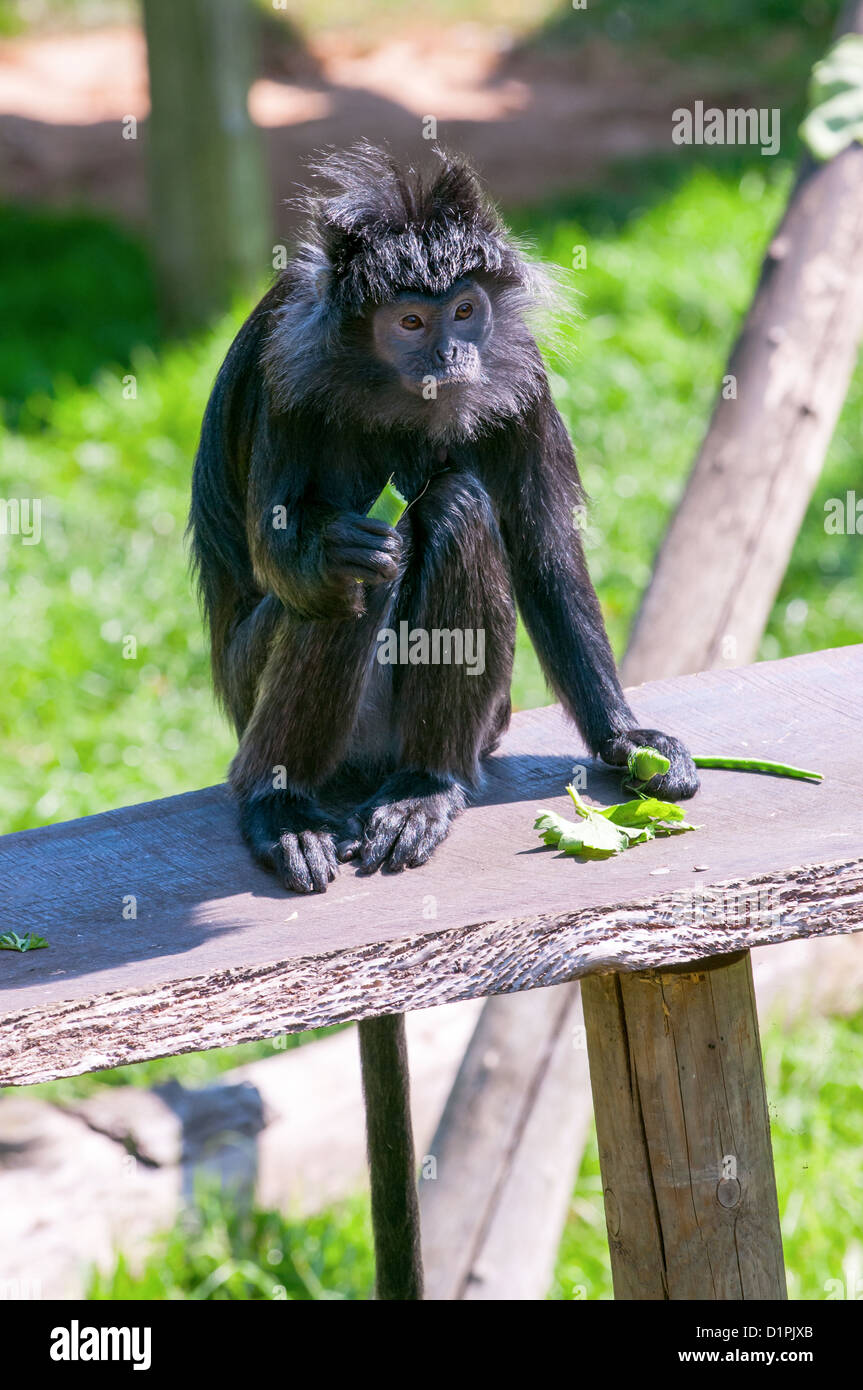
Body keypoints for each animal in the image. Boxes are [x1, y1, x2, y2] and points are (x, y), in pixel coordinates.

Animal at [189, 142, 699, 900]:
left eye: (463, 311)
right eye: (409, 323)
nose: (452, 356)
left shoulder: (520, 368)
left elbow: (544, 549)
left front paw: (625, 740)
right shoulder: (286, 359)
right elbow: (281, 557)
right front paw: (329, 548)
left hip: (485, 721)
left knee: (457, 508)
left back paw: (422, 789)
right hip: (253, 689)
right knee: (362, 578)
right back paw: (280, 804)